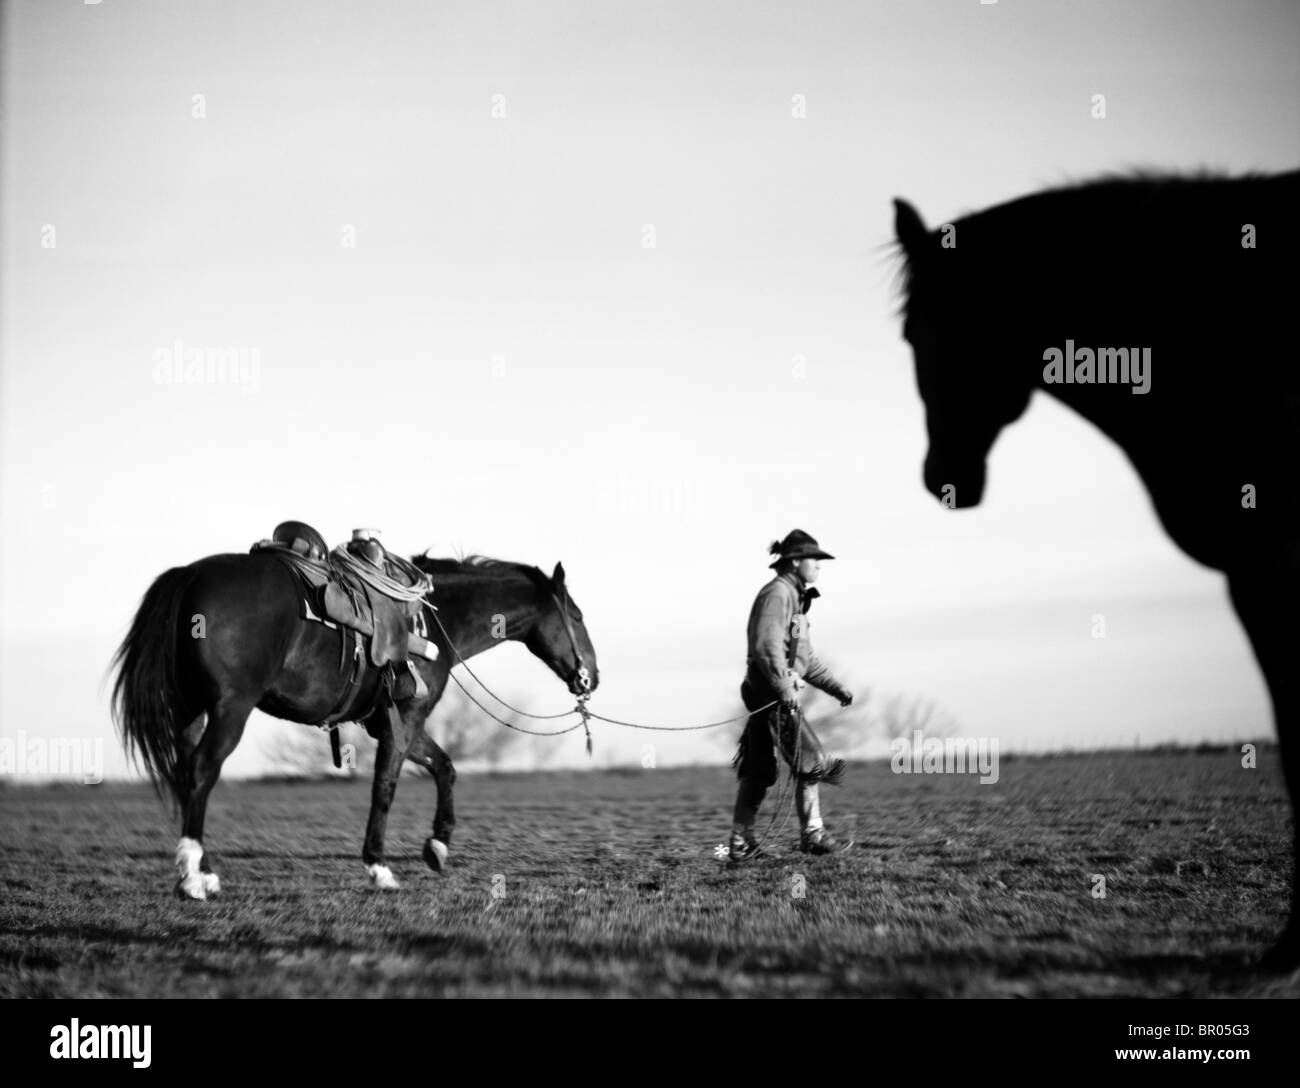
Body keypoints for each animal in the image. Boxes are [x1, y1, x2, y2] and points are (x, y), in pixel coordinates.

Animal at [111, 549, 598, 897]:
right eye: (576, 616)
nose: (591, 676)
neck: (433, 620)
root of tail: (190, 575)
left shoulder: (391, 724)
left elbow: (445, 767)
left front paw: (437, 846)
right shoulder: (405, 718)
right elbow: (385, 787)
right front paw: (379, 867)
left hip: (190, 712)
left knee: (186, 775)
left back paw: (202, 871)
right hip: (230, 709)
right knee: (201, 773)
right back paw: (194, 878)